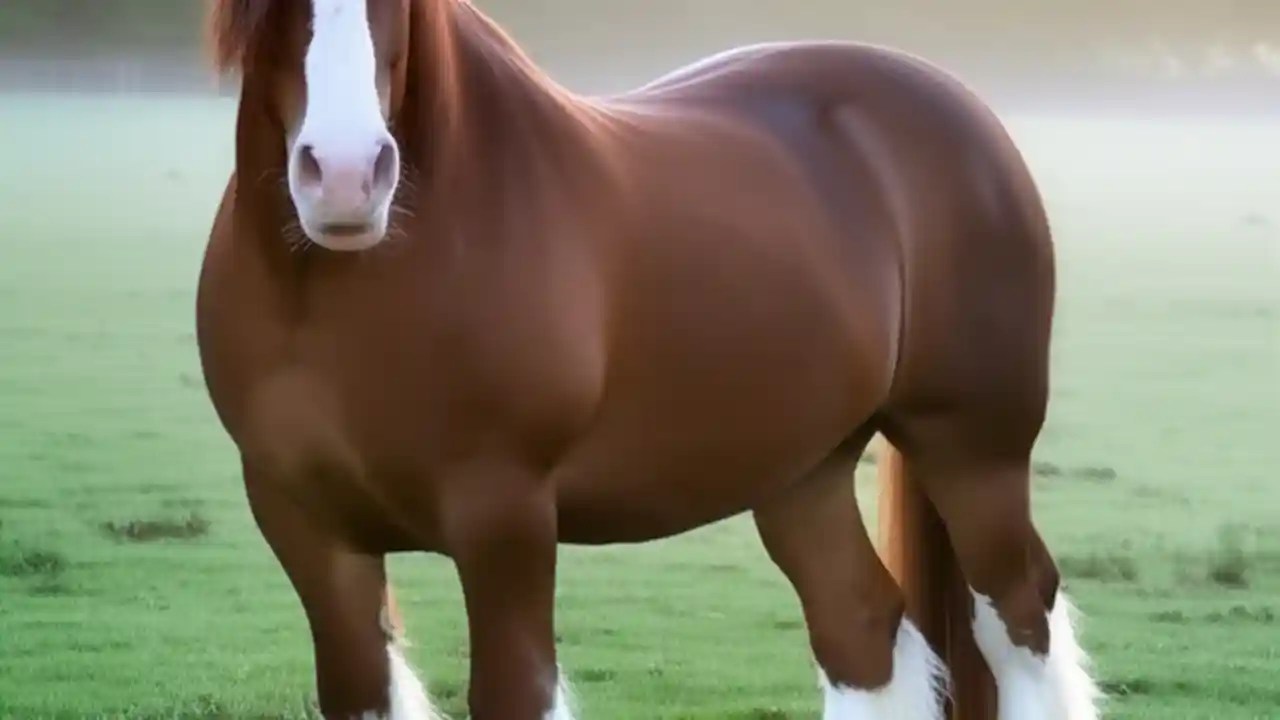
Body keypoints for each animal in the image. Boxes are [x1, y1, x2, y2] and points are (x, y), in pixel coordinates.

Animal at [197, 1, 1102, 719]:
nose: (346, 175)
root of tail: (956, 105)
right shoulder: (305, 524)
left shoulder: (504, 519)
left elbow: (513, 693)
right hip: (801, 472)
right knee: (862, 633)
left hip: (972, 446)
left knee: (1016, 619)